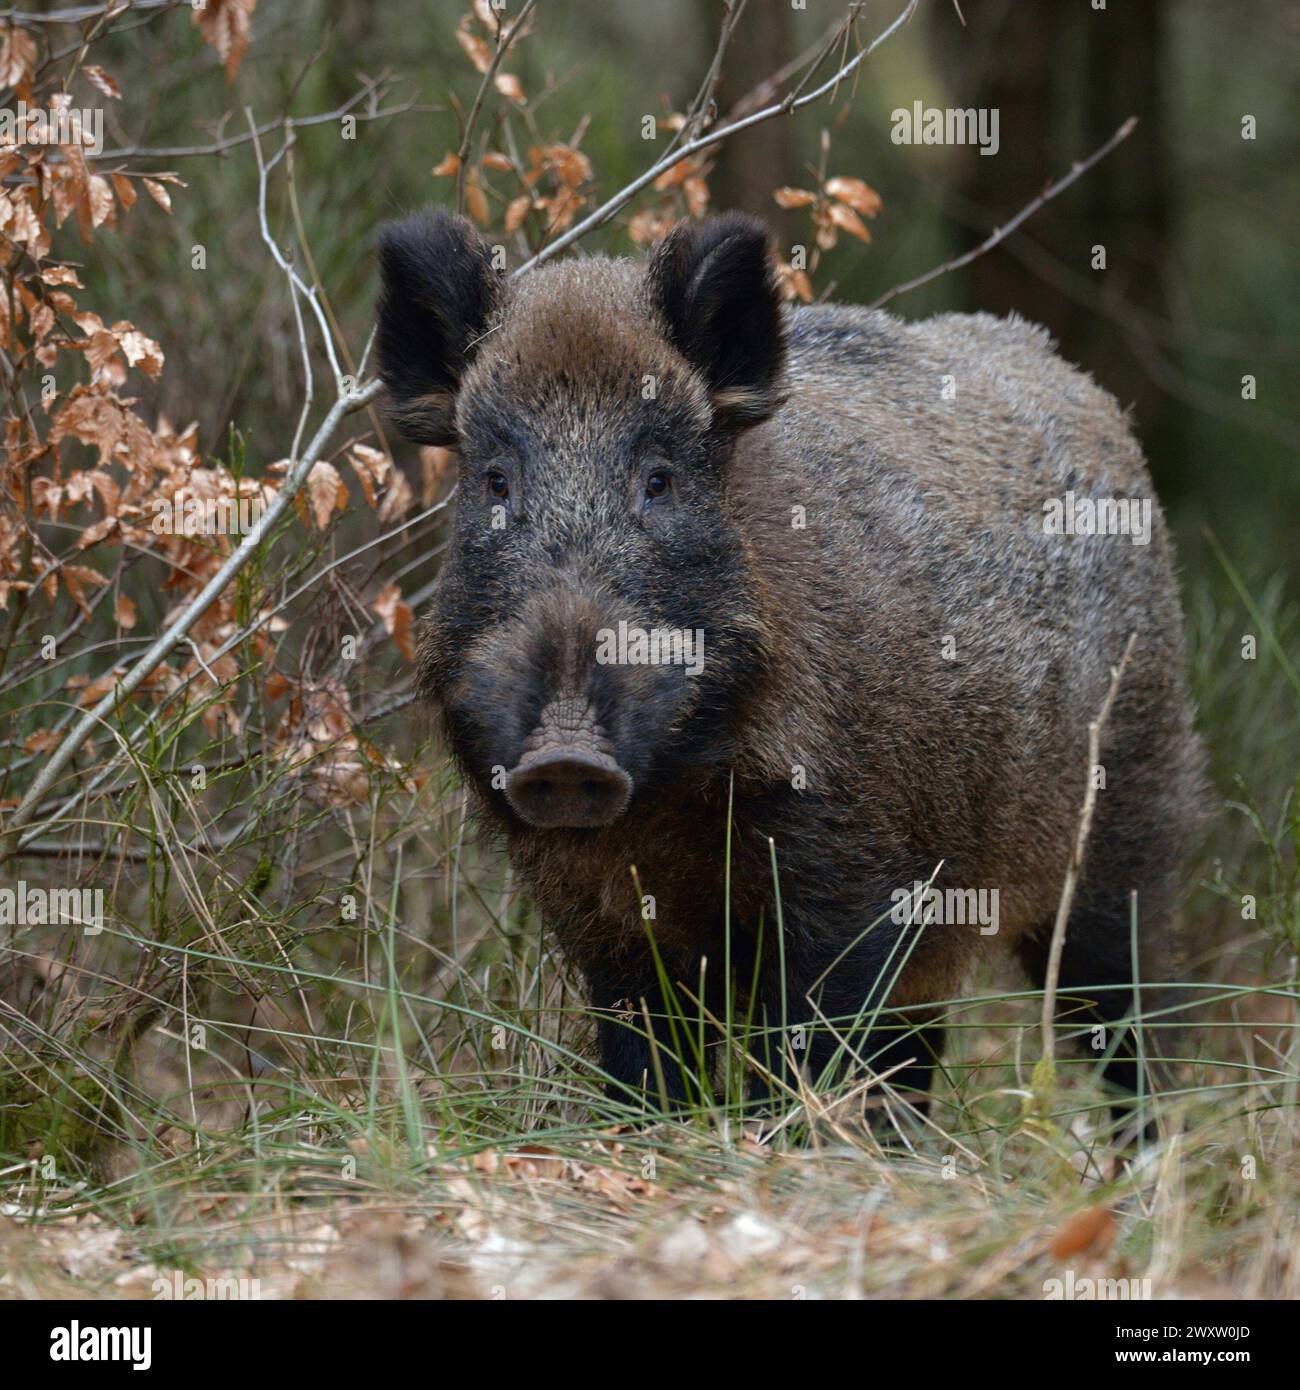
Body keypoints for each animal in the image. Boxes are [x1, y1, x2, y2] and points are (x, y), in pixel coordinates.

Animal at [376, 209, 1208, 1116]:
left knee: (1132, 1019)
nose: (566, 757)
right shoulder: (593, 907)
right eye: (495, 481)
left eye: (659, 479)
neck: (675, 794)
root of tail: (1082, 386)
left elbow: (811, 1033)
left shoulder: (855, 864)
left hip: (1126, 816)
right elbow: (646, 1052)